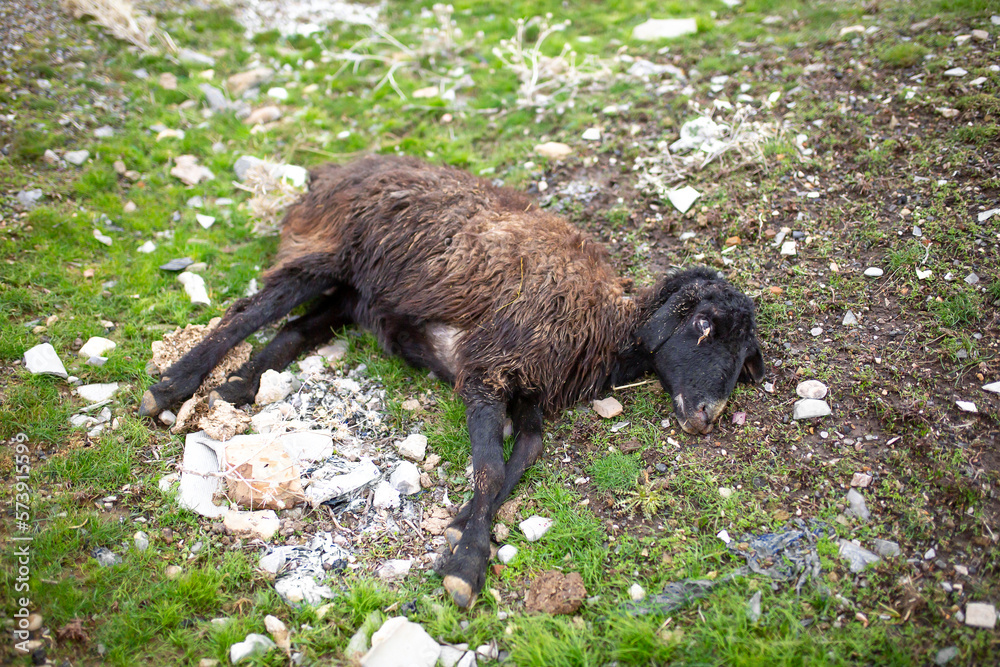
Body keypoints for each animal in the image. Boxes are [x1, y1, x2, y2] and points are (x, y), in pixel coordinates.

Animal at [139, 155, 765, 608]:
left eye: (745, 354)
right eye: (703, 326)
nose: (706, 416)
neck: (603, 326)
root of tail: (336, 171)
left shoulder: (530, 391)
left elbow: (526, 450)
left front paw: (465, 526)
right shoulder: (488, 369)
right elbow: (488, 468)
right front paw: (467, 566)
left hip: (355, 294)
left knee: (292, 330)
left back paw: (237, 387)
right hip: (327, 250)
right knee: (251, 310)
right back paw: (169, 389)